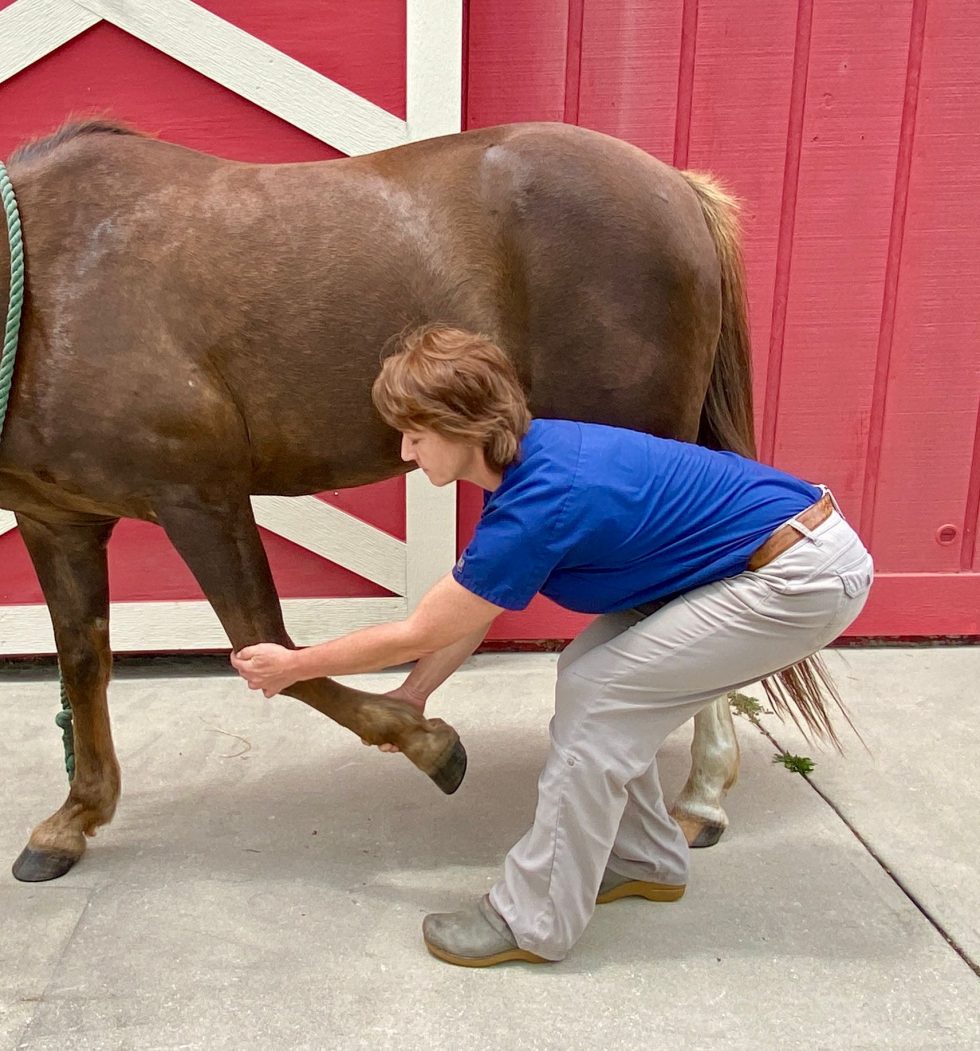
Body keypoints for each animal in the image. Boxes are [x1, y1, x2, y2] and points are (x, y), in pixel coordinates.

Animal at [0, 119, 843, 883]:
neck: (53, 282)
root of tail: (676, 187)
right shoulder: (58, 522)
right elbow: (83, 661)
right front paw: (72, 818)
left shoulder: (201, 495)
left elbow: (270, 650)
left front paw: (427, 741)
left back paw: (698, 797)